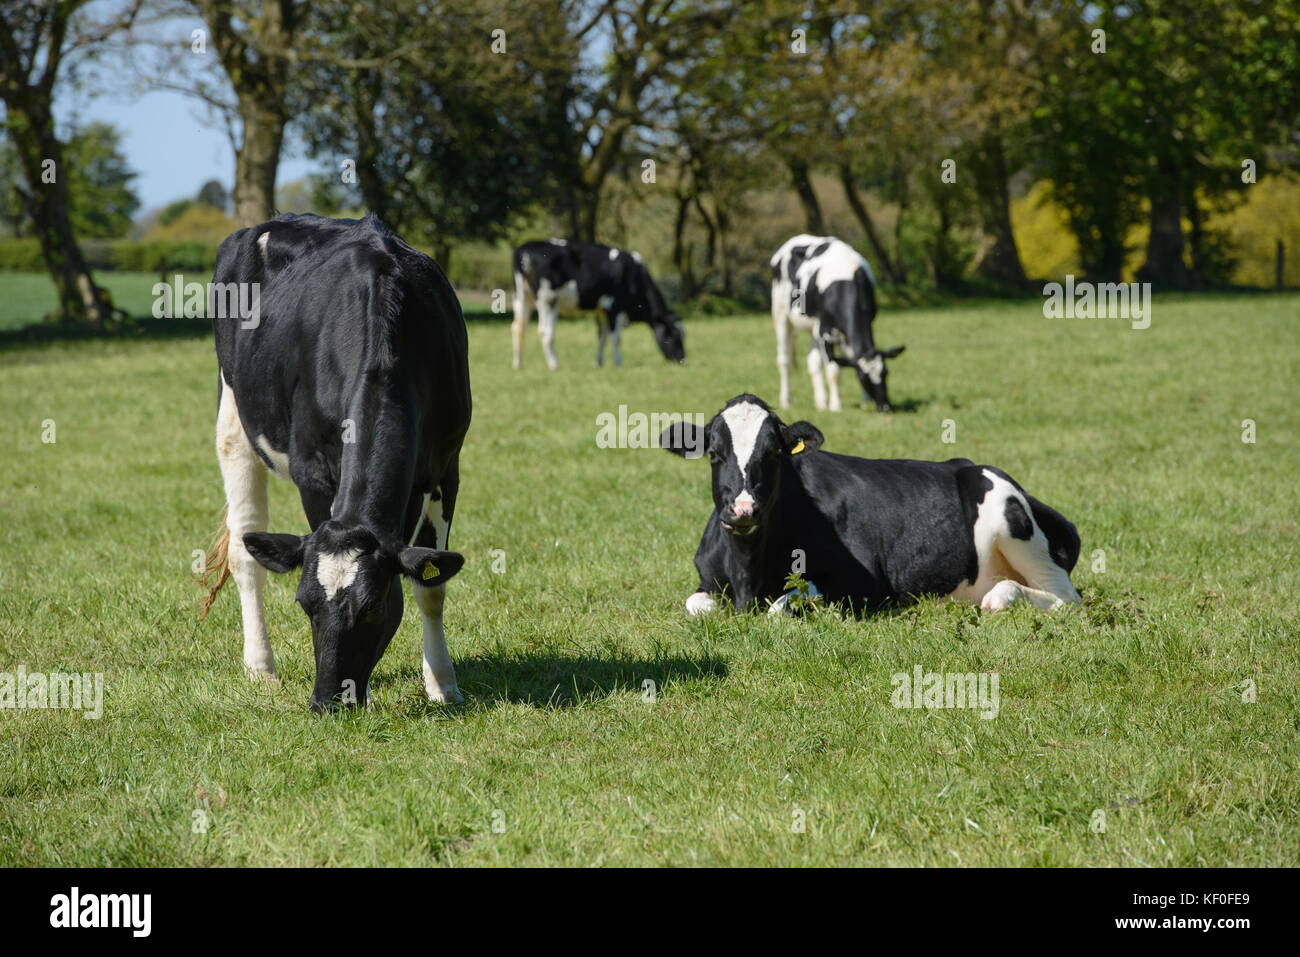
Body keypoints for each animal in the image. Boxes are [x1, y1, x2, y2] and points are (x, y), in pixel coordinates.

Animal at [201, 213, 472, 712]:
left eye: (372, 607)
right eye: (305, 604)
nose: (329, 701)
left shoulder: (448, 465)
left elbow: (431, 586)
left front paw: (443, 684)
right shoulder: (311, 471)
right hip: (232, 416)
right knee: (244, 552)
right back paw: (260, 669)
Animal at [511, 239, 686, 370]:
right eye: (672, 337)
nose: (683, 360)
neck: (633, 274)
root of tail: (524, 248)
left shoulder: (601, 309)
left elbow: (602, 336)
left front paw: (598, 363)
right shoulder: (615, 306)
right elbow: (616, 337)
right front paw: (618, 363)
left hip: (522, 298)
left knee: (518, 328)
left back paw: (517, 365)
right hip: (548, 300)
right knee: (545, 332)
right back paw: (554, 364)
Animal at [659, 394, 1082, 617]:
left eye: (774, 454)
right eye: (714, 453)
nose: (744, 510)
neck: (748, 576)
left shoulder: (862, 586)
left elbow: (781, 607)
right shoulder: (706, 579)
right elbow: (697, 603)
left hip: (1008, 514)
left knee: (1066, 599)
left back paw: (1004, 595)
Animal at [771, 234, 905, 412]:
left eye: (886, 373)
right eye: (864, 378)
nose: (885, 407)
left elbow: (850, 358)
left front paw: (864, 402)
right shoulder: (826, 332)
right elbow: (834, 370)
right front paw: (835, 405)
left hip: (814, 326)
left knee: (813, 360)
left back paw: (820, 402)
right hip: (781, 314)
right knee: (784, 360)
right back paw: (786, 401)